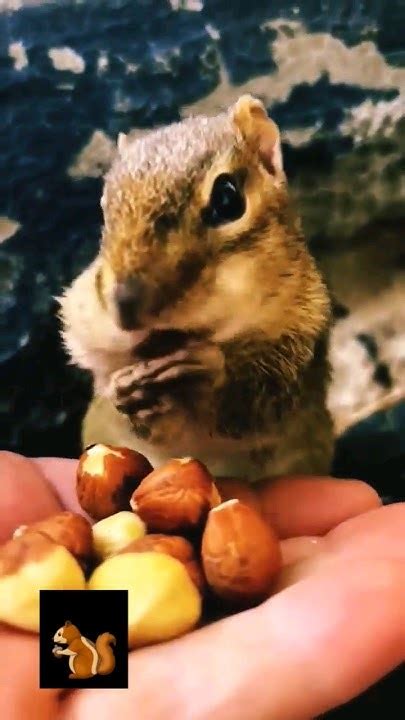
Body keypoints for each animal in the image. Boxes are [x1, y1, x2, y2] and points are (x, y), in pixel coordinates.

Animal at [58, 94, 334, 481]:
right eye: (105, 211)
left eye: (228, 199)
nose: (126, 310)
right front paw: (121, 390)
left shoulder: (299, 344)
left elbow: (258, 404)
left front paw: (208, 369)